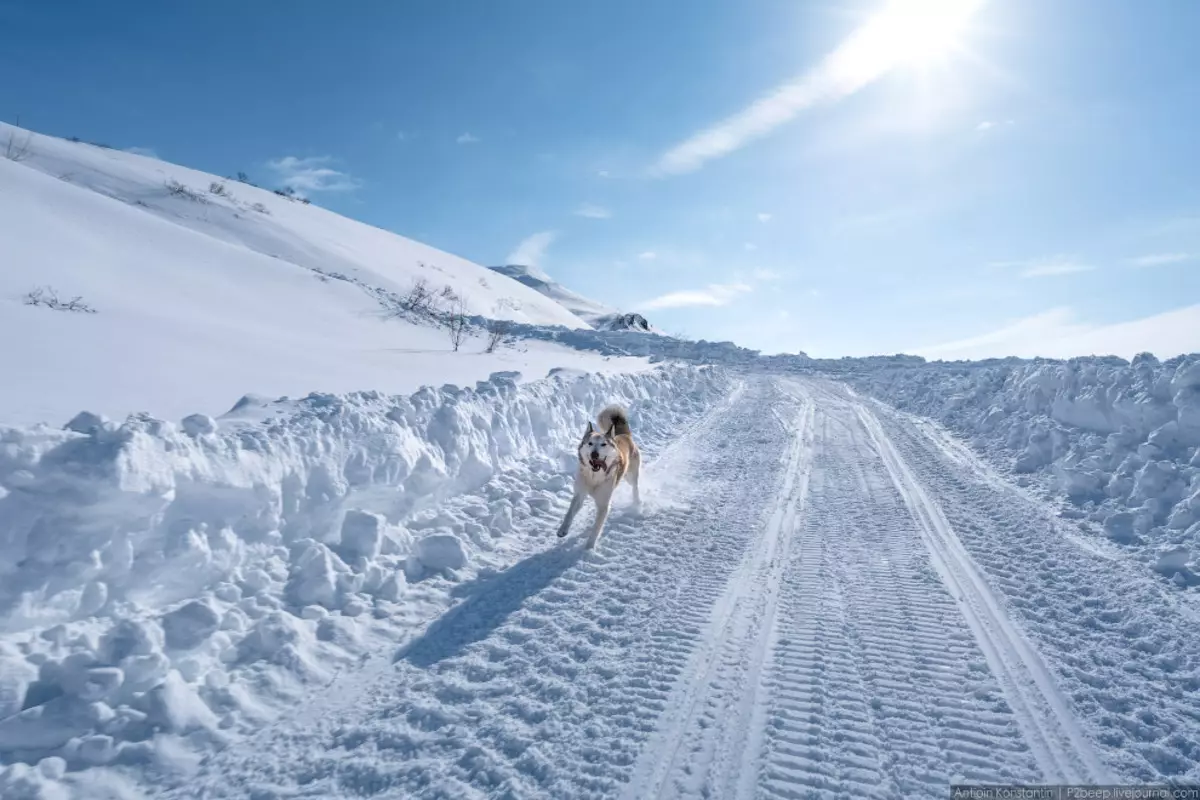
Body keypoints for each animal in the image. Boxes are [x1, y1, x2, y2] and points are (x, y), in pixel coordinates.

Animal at [556, 402, 643, 546]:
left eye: (603, 444)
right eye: (590, 443)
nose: (594, 454)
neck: (594, 477)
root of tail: (624, 435)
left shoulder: (603, 505)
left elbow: (597, 527)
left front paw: (589, 546)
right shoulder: (579, 494)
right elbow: (569, 513)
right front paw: (562, 530)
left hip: (629, 476)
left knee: (635, 486)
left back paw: (637, 502)